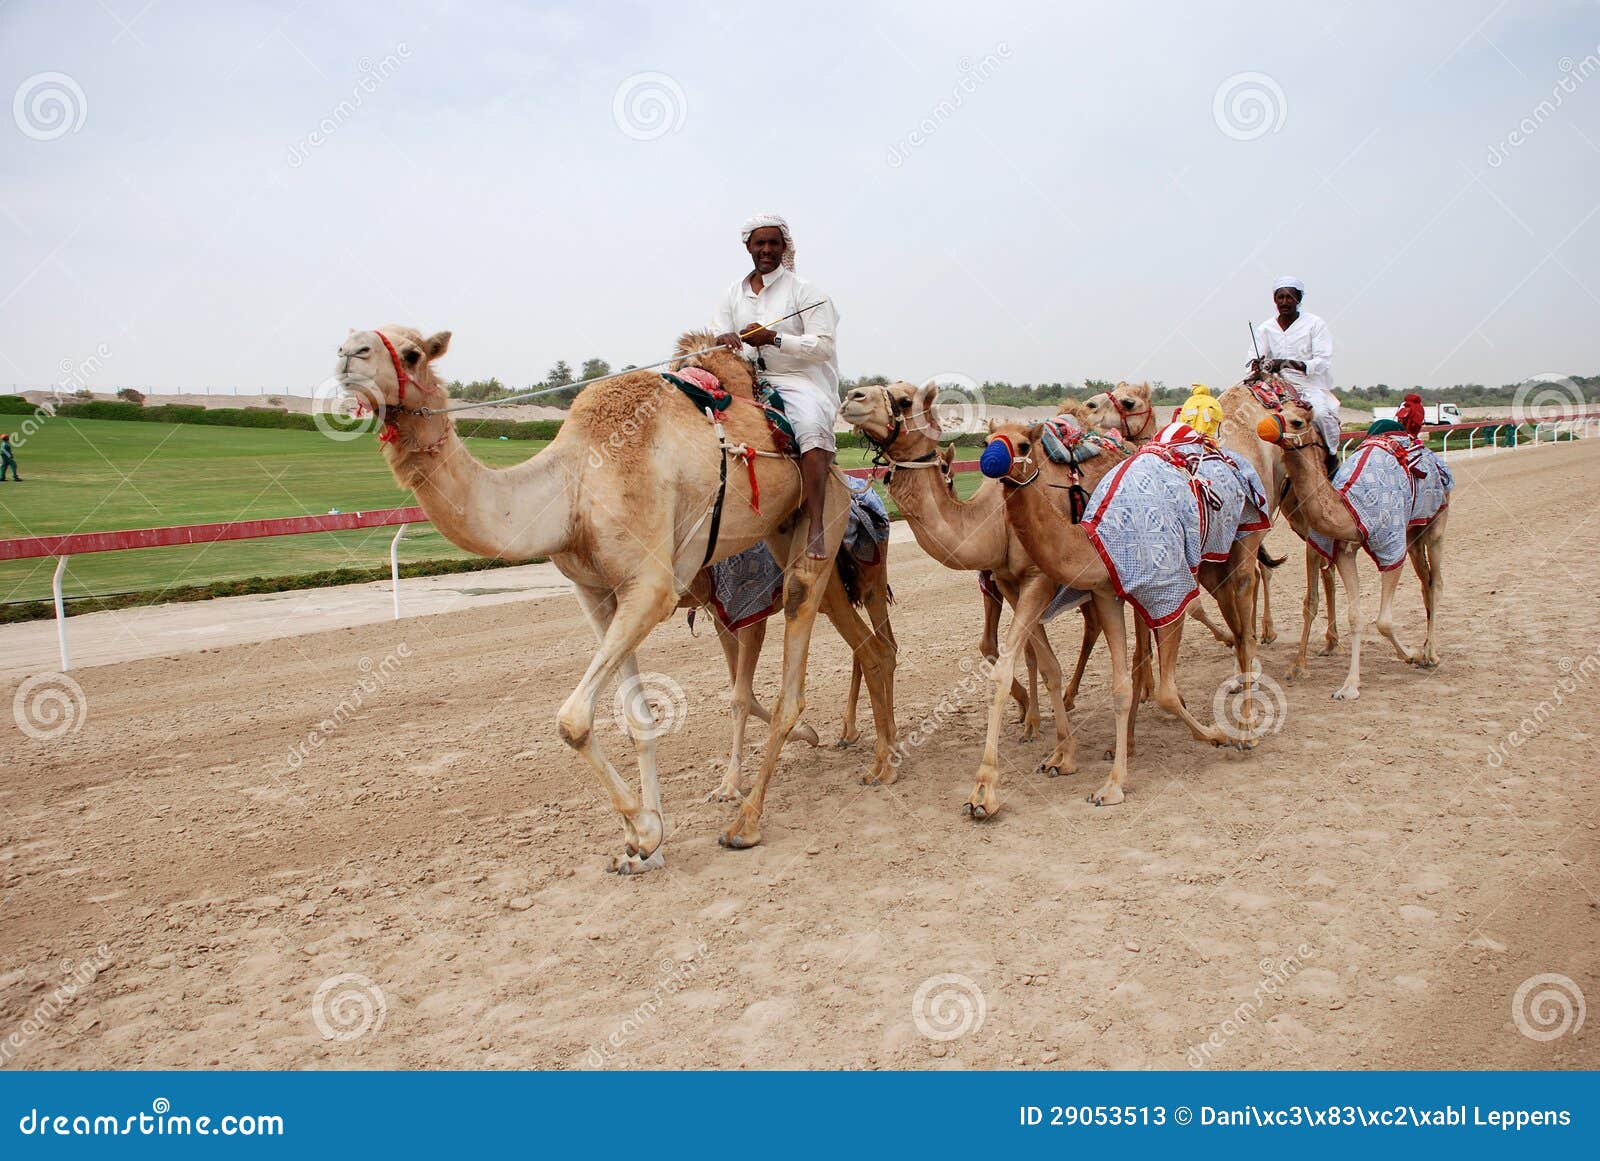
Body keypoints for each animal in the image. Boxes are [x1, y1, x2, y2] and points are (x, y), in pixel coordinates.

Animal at [335, 325, 896, 871]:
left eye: (412, 352)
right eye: (353, 338)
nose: (347, 354)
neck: (576, 484)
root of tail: (846, 474)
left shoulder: (651, 588)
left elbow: (573, 719)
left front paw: (644, 831)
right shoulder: (597, 593)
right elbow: (638, 716)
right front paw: (645, 844)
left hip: (818, 518)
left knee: (796, 669)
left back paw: (749, 821)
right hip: (783, 533)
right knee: (866, 645)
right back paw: (880, 758)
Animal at [839, 382, 1114, 818]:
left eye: (905, 400)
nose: (853, 397)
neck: (995, 517)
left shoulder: (1039, 578)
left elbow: (1003, 669)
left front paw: (984, 790)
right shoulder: (1006, 580)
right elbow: (1046, 664)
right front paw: (1062, 754)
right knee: (1100, 629)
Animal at [1258, 400, 1448, 701]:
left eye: (1298, 422)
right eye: (1276, 411)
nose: (1263, 427)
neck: (1347, 506)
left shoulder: (1391, 548)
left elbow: (1383, 621)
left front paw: (1412, 654)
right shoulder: (1344, 550)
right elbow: (1355, 615)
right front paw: (1349, 685)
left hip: (1436, 523)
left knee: (1437, 583)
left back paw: (1431, 653)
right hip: (1413, 534)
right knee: (1426, 583)